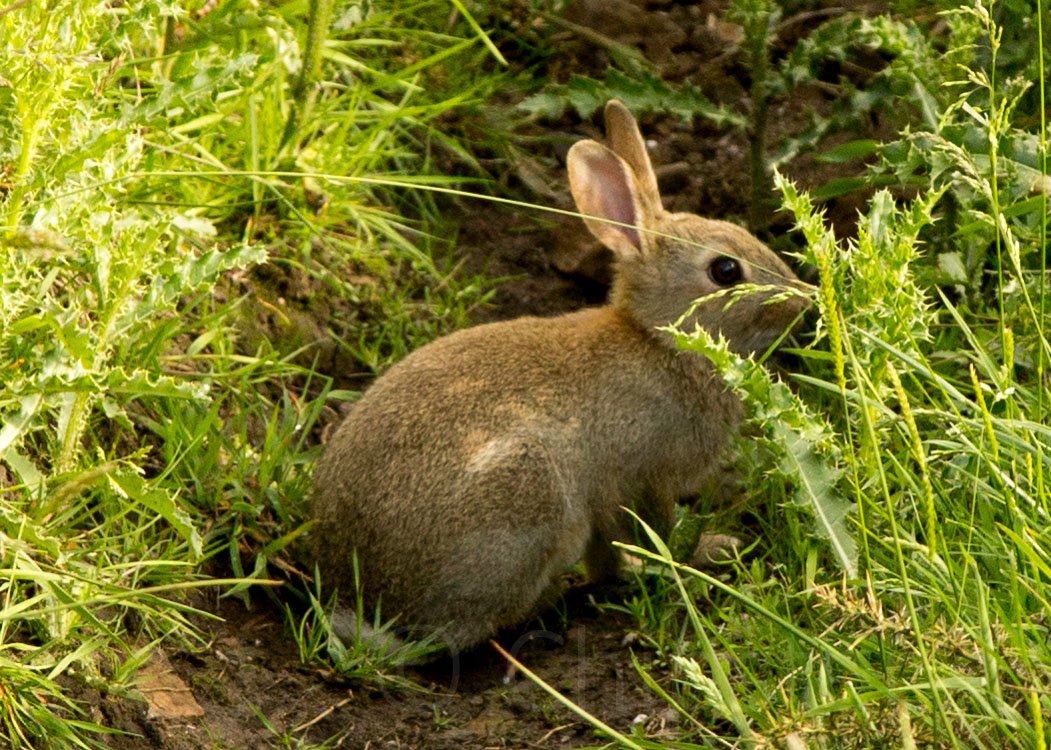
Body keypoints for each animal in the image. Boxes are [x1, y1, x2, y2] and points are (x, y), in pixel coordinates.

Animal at [310, 100, 808, 654]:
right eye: (725, 271)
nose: (804, 300)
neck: (658, 341)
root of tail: (363, 596)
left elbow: (607, 553)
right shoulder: (642, 480)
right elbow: (654, 533)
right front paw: (691, 558)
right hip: (527, 504)